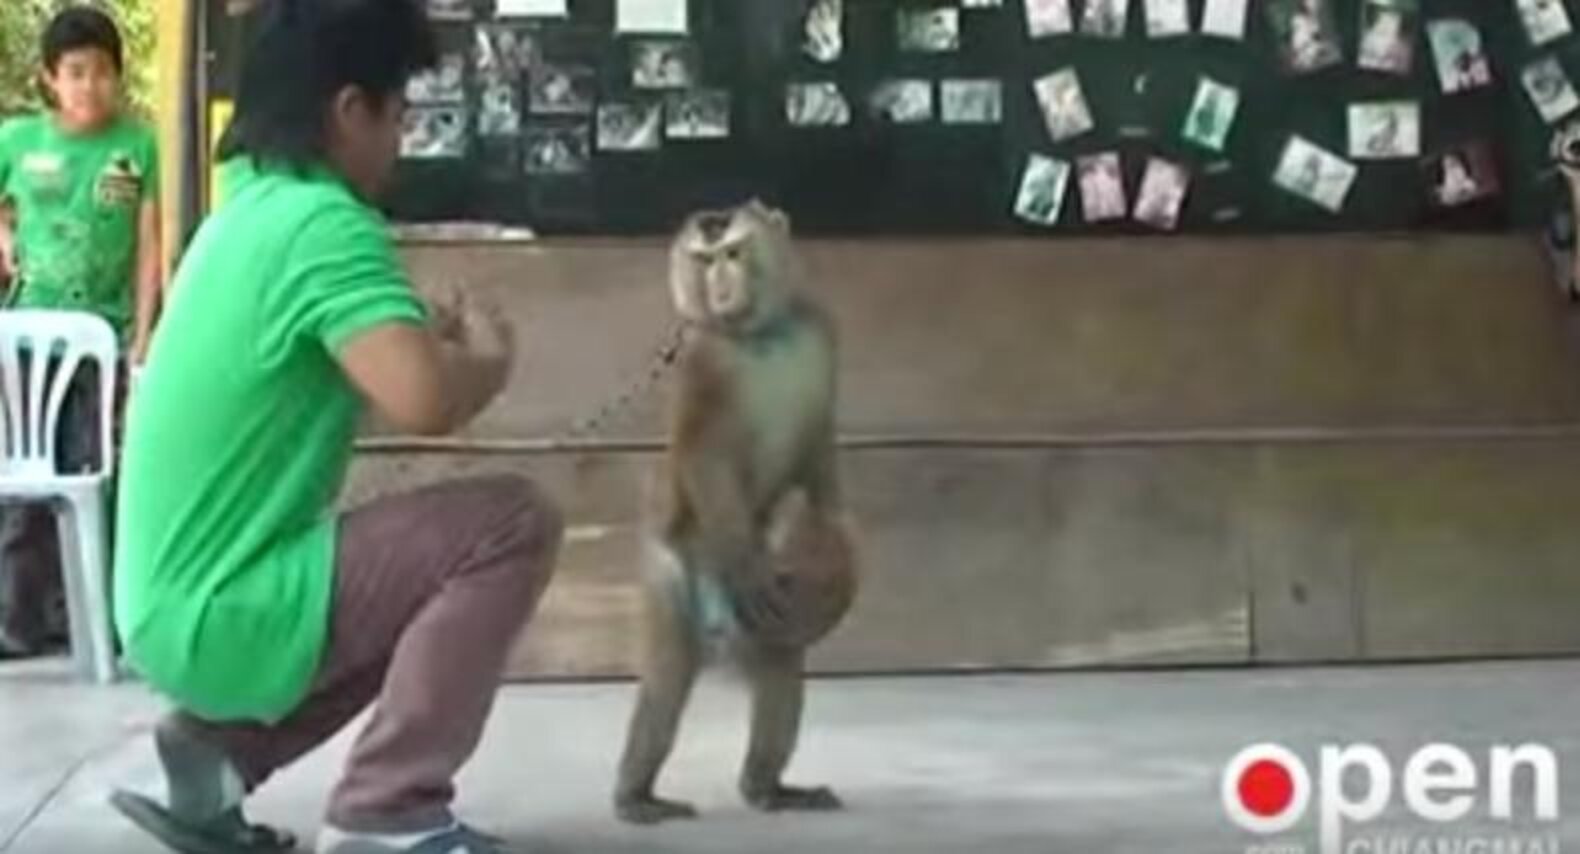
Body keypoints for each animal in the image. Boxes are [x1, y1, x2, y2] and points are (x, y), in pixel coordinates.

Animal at [613, 200, 857, 825]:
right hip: (674, 570)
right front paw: (745, 562)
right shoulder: (705, 359)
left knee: (780, 669)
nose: (720, 286)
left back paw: (767, 788)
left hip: (766, 621)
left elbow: (818, 441)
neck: (760, 336)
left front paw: (840, 541)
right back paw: (634, 796)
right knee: (668, 681)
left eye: (733, 252)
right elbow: (707, 459)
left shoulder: (821, 328)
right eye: (703, 261)